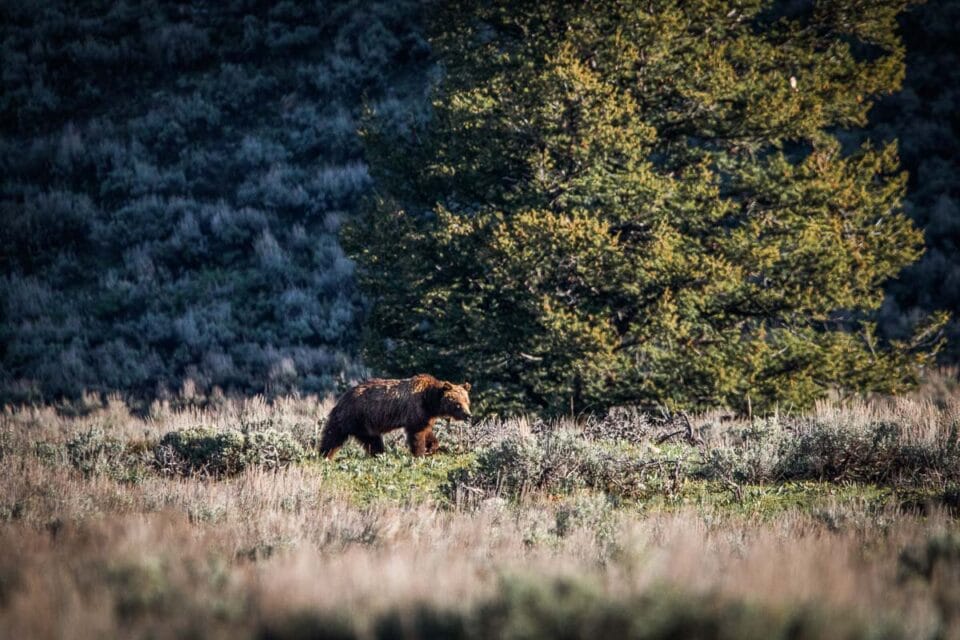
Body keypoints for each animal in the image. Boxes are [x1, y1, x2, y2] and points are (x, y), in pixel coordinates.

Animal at [318, 374, 472, 459]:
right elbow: (416, 434)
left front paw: (432, 446)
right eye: (457, 404)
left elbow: (427, 431)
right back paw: (325, 454)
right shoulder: (415, 409)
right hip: (355, 416)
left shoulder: (426, 415)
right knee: (334, 435)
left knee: (371, 441)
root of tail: (342, 398)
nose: (468, 415)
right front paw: (420, 453)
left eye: (467, 401)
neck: (430, 400)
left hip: (362, 424)